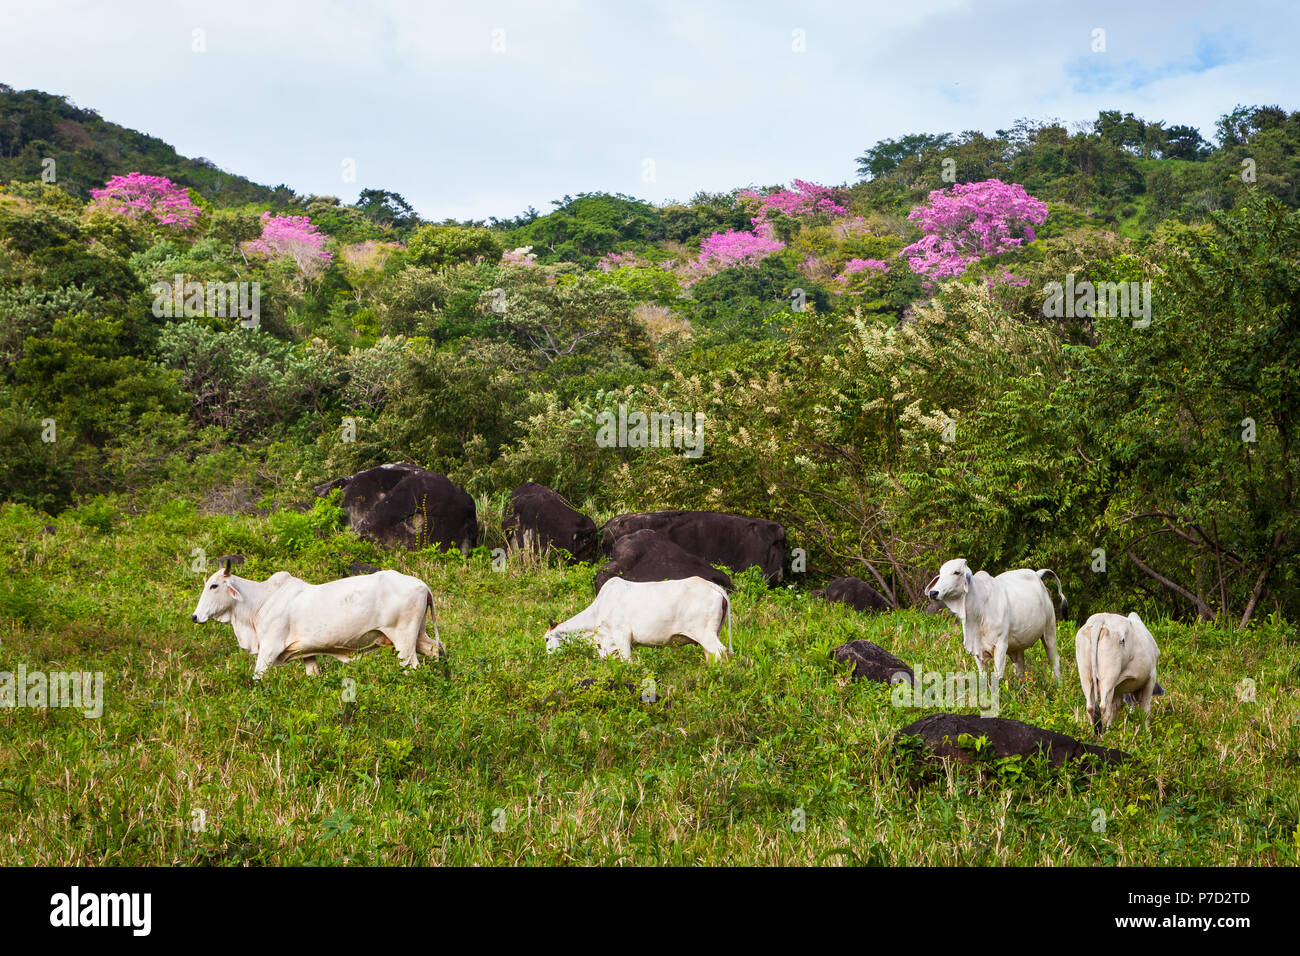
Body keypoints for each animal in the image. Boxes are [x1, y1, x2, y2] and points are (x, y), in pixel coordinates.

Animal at [191, 558, 445, 679]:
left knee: (412, 666)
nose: (195, 616)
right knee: (437, 651)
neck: (260, 601)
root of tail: (422, 585)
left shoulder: (269, 649)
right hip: (417, 636)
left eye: (214, 585)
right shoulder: (306, 653)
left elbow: (257, 677)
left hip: (403, 641)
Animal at [544, 576, 732, 662]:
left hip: (706, 634)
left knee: (721, 652)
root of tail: (713, 586)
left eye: (546, 639)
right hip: (711, 634)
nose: (548, 658)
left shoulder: (622, 637)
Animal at [928, 558, 1066, 681]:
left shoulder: (1001, 646)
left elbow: (997, 677)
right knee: (1020, 667)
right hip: (1019, 645)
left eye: (956, 572)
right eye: (940, 573)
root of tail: (1037, 574)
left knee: (1054, 661)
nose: (933, 592)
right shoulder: (977, 651)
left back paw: (1059, 686)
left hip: (1049, 631)